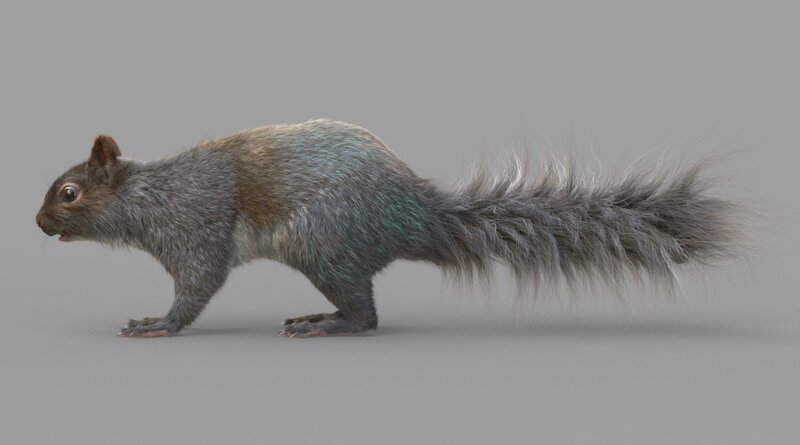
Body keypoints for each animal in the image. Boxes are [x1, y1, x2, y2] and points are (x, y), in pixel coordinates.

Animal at [36, 119, 744, 338]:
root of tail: (418, 215)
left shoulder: (196, 229)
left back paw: (324, 324)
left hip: (321, 243)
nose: (38, 224)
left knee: (367, 316)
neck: (151, 194)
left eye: (69, 192)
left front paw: (157, 323)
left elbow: (196, 286)